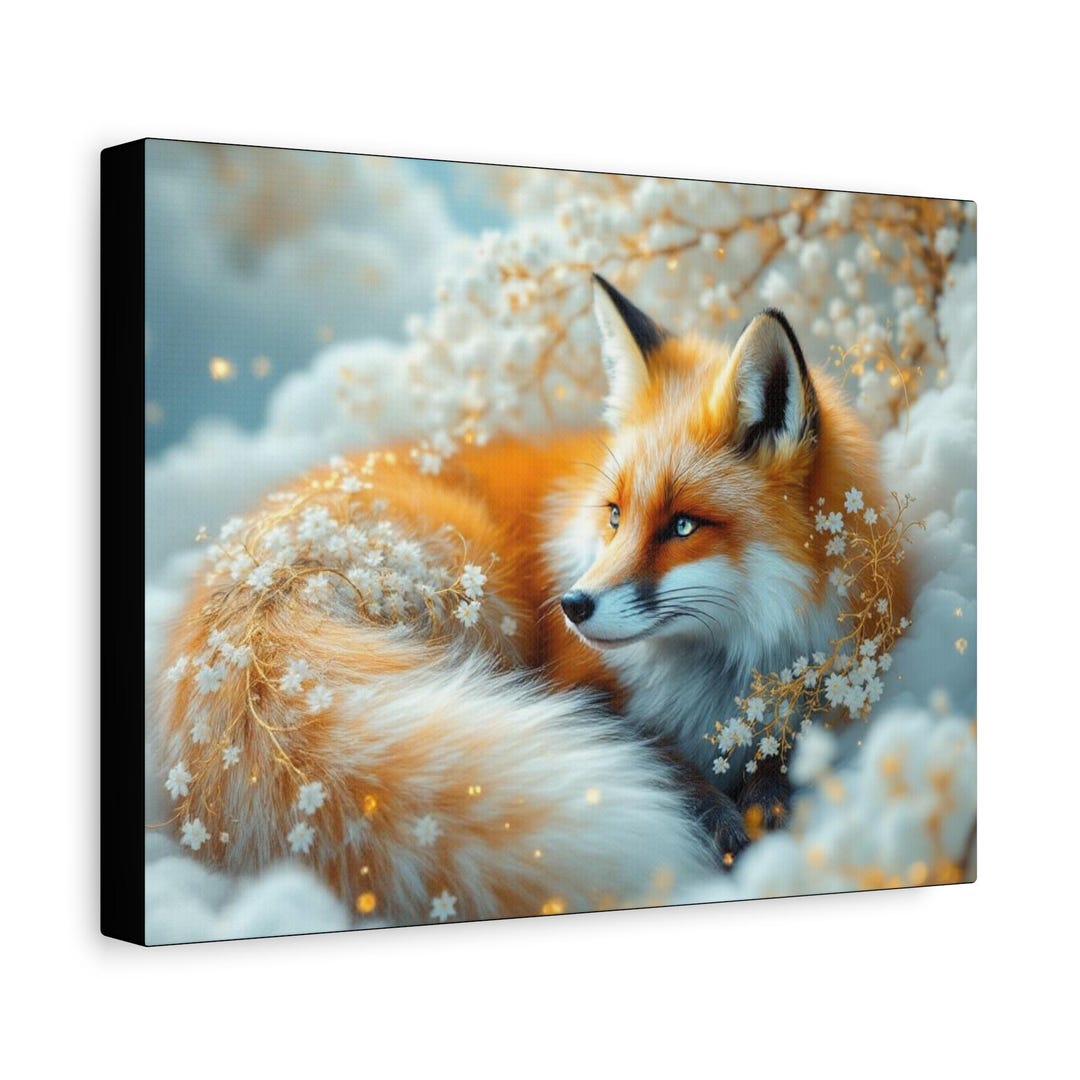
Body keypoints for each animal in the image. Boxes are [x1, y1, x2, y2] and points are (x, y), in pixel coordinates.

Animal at [153, 274, 902, 927]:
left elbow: (787, 754)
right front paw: (719, 821)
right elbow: (660, 763)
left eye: (683, 526)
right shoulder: (580, 688)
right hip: (486, 600)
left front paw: (771, 799)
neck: (721, 682)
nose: (572, 605)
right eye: (614, 514)